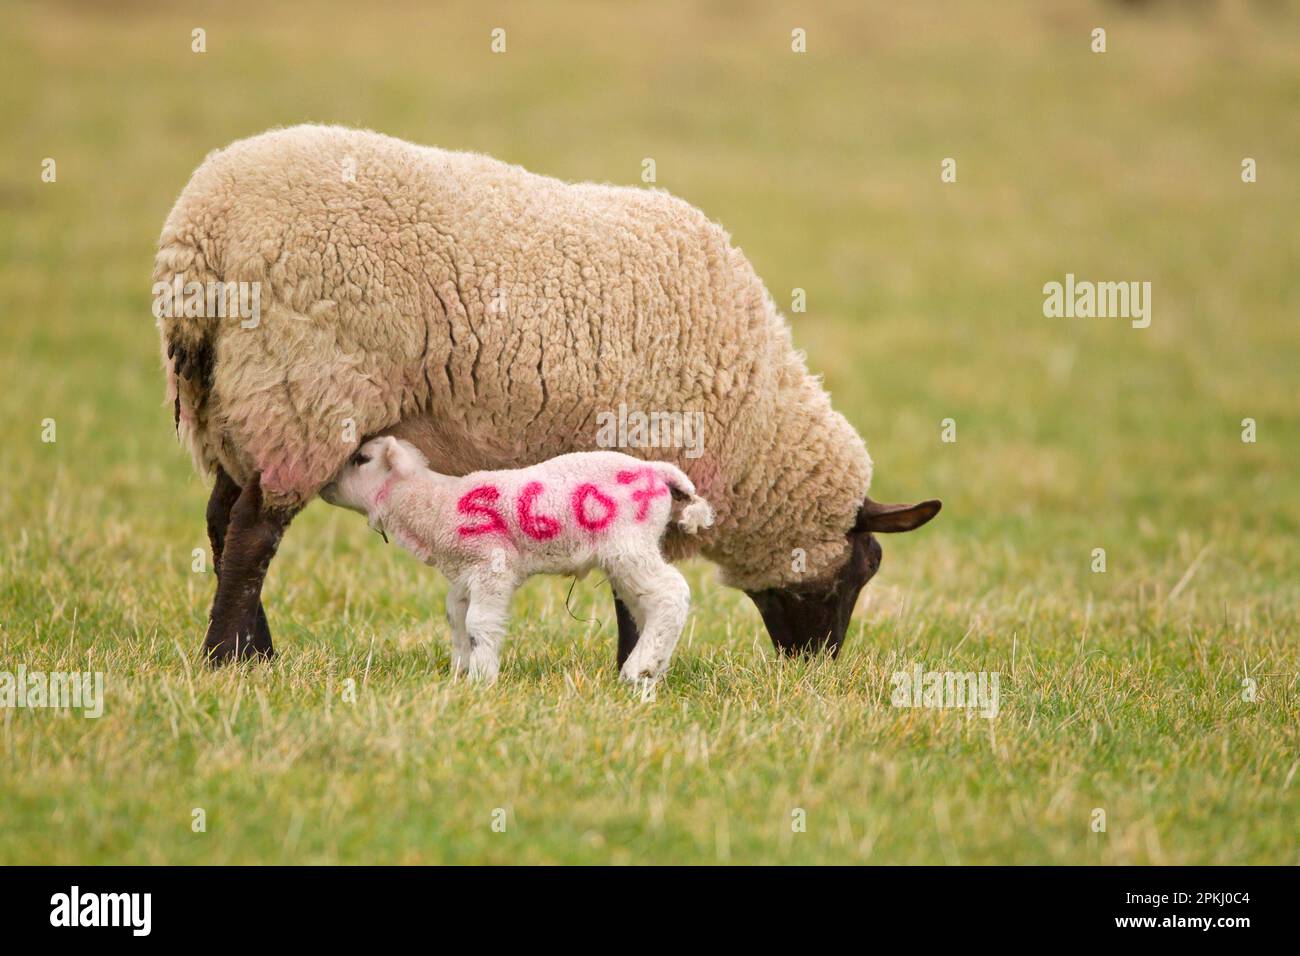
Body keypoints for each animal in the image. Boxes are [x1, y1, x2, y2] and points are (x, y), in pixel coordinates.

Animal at [322, 436, 714, 682]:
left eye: (361, 459)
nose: (326, 486)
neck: (433, 503)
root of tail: (657, 471)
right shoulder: (465, 572)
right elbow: (456, 616)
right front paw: (460, 670)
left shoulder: (492, 564)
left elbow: (479, 622)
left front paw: (482, 677)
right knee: (649, 604)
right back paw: (651, 669)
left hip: (628, 543)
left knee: (671, 592)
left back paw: (639, 669)